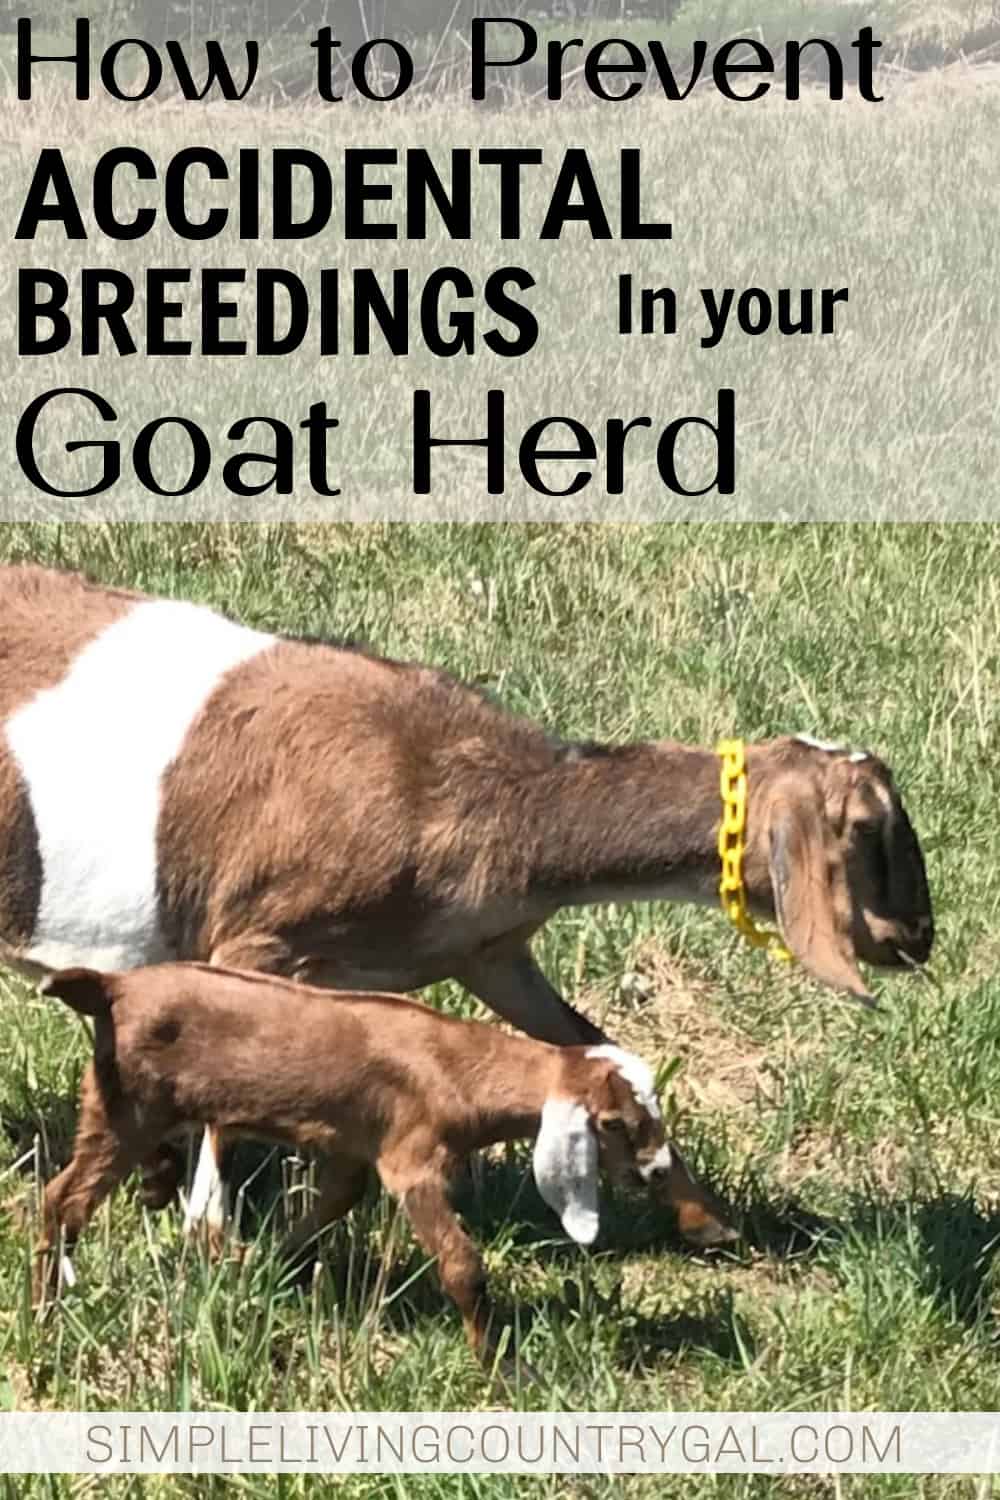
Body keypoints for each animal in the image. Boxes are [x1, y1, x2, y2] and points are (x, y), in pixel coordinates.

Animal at [0, 565, 933, 1243]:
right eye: (868, 830)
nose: (918, 935)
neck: (479, 796)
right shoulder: (255, 937)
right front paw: (207, 1235)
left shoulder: (489, 953)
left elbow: (596, 1044)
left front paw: (706, 1218)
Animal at [34, 963, 734, 1363]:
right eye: (612, 1124)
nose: (655, 1172)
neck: (457, 1065)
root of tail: (112, 986)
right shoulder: (410, 1156)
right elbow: (462, 1264)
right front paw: (497, 1362)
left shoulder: (354, 1147)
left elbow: (336, 1200)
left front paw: (273, 1266)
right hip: (129, 1106)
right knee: (61, 1199)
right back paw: (46, 1307)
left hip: (125, 1103)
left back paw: (150, 1190)